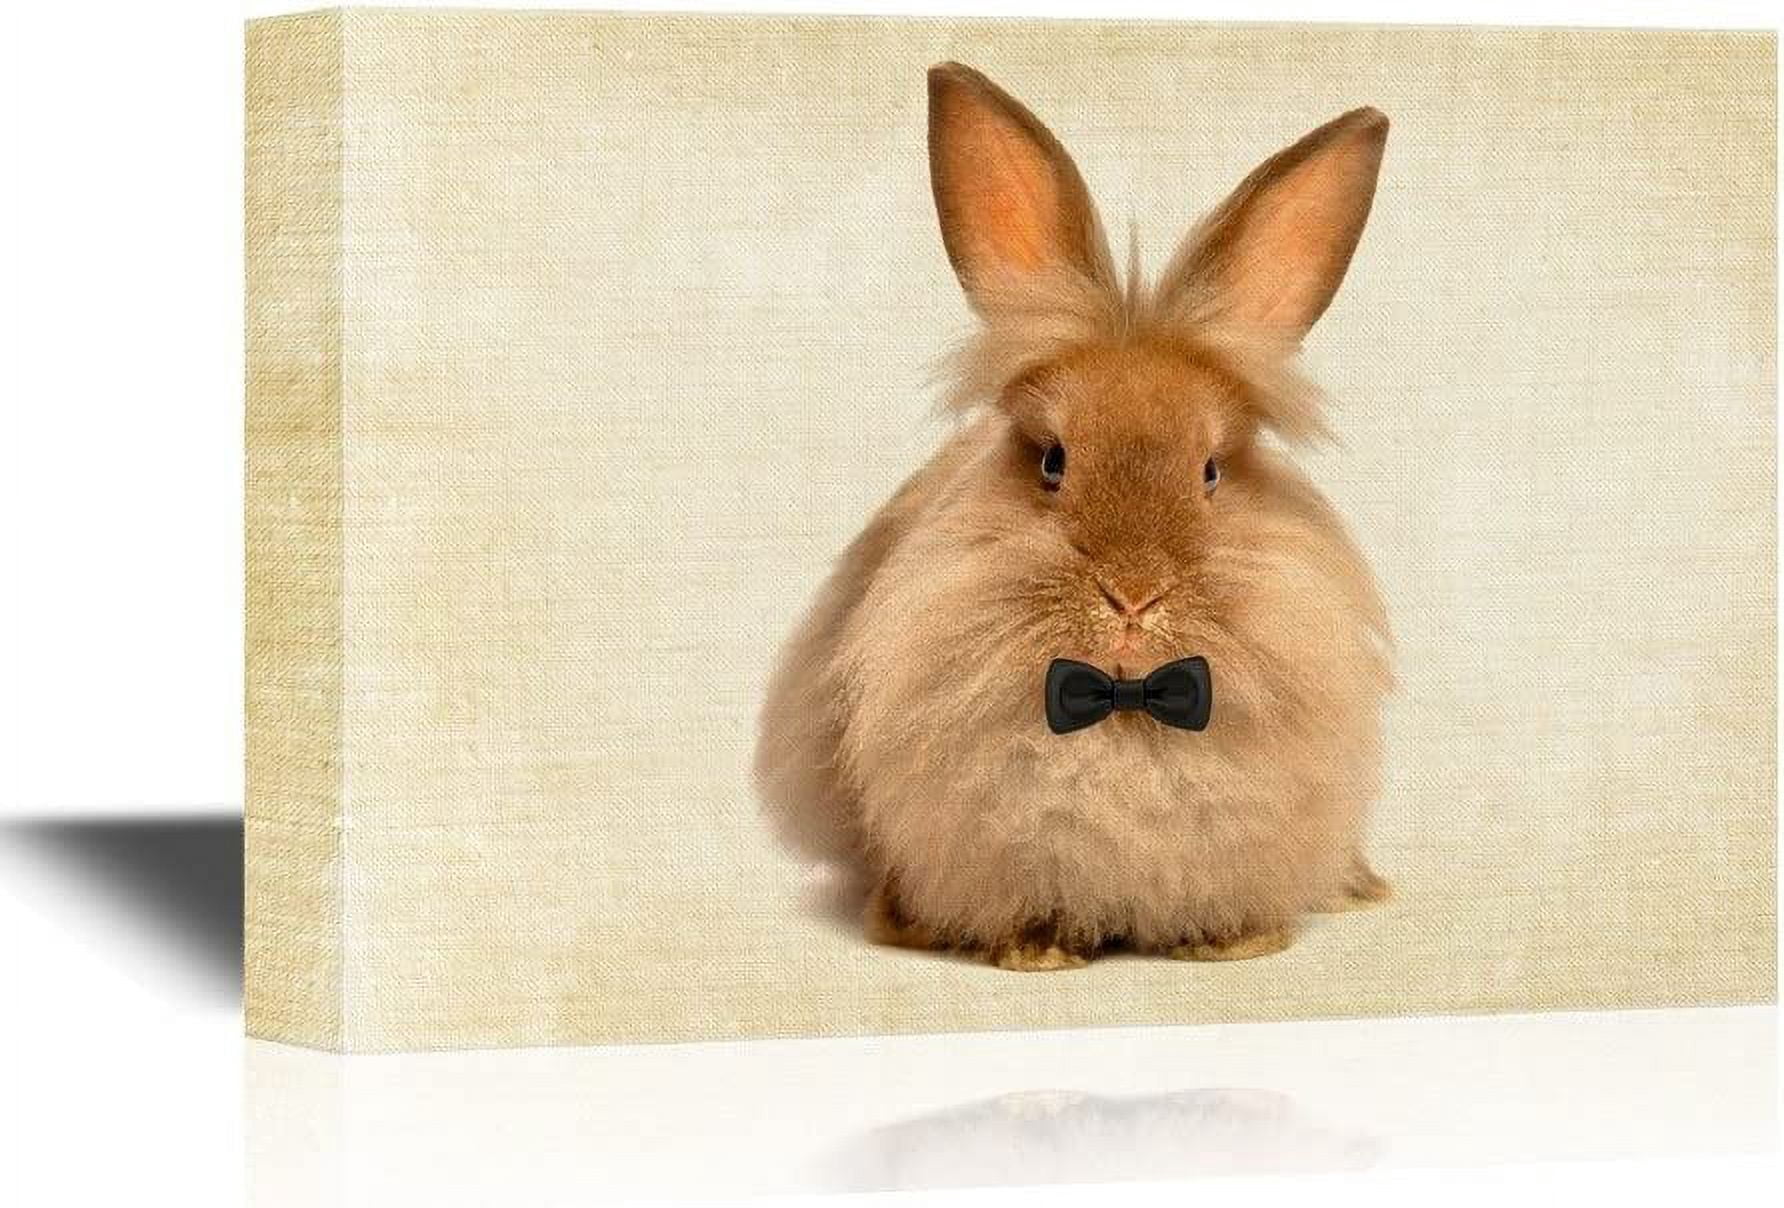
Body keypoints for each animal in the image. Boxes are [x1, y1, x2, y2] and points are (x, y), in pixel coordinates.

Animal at [755, 62, 1393, 971]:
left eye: (1211, 470)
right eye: (1053, 461)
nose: (1133, 596)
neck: (1125, 703)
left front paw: (1233, 944)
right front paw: (1036, 953)